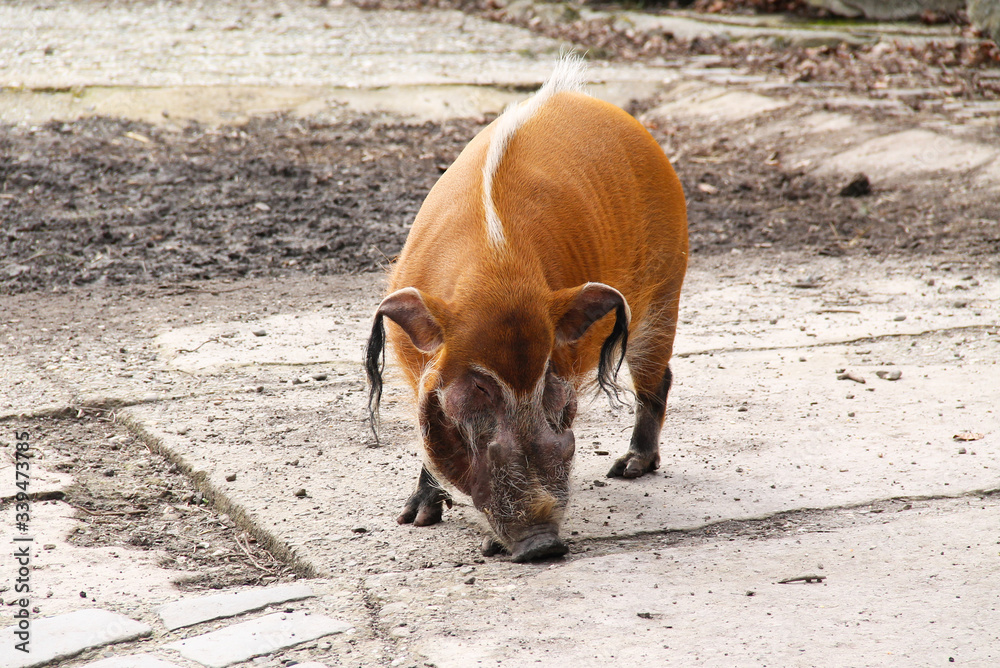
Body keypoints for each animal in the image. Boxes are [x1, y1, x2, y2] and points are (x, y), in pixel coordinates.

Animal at [365, 57, 688, 562]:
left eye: (551, 383)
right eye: (479, 387)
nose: (543, 545)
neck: (499, 277)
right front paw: (413, 520)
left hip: (665, 290)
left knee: (658, 377)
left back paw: (628, 467)